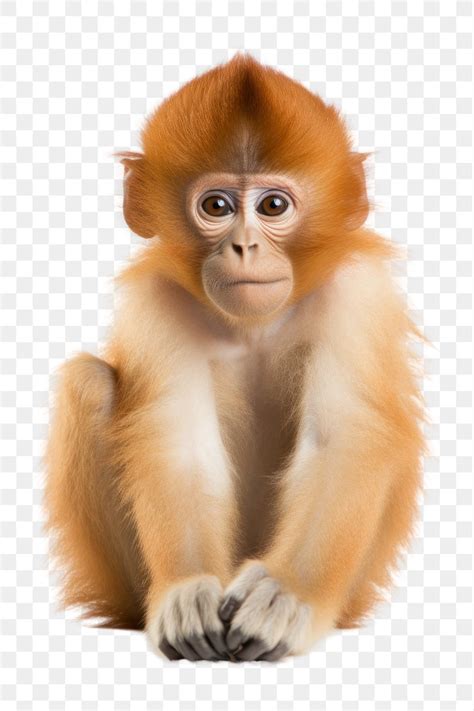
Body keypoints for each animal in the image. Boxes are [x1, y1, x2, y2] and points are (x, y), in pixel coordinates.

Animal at [44, 54, 425, 663]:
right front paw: (186, 591)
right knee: (88, 381)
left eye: (272, 205)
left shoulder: (358, 291)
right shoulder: (158, 300)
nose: (245, 246)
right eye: (216, 206)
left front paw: (284, 595)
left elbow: (342, 434)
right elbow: (180, 444)